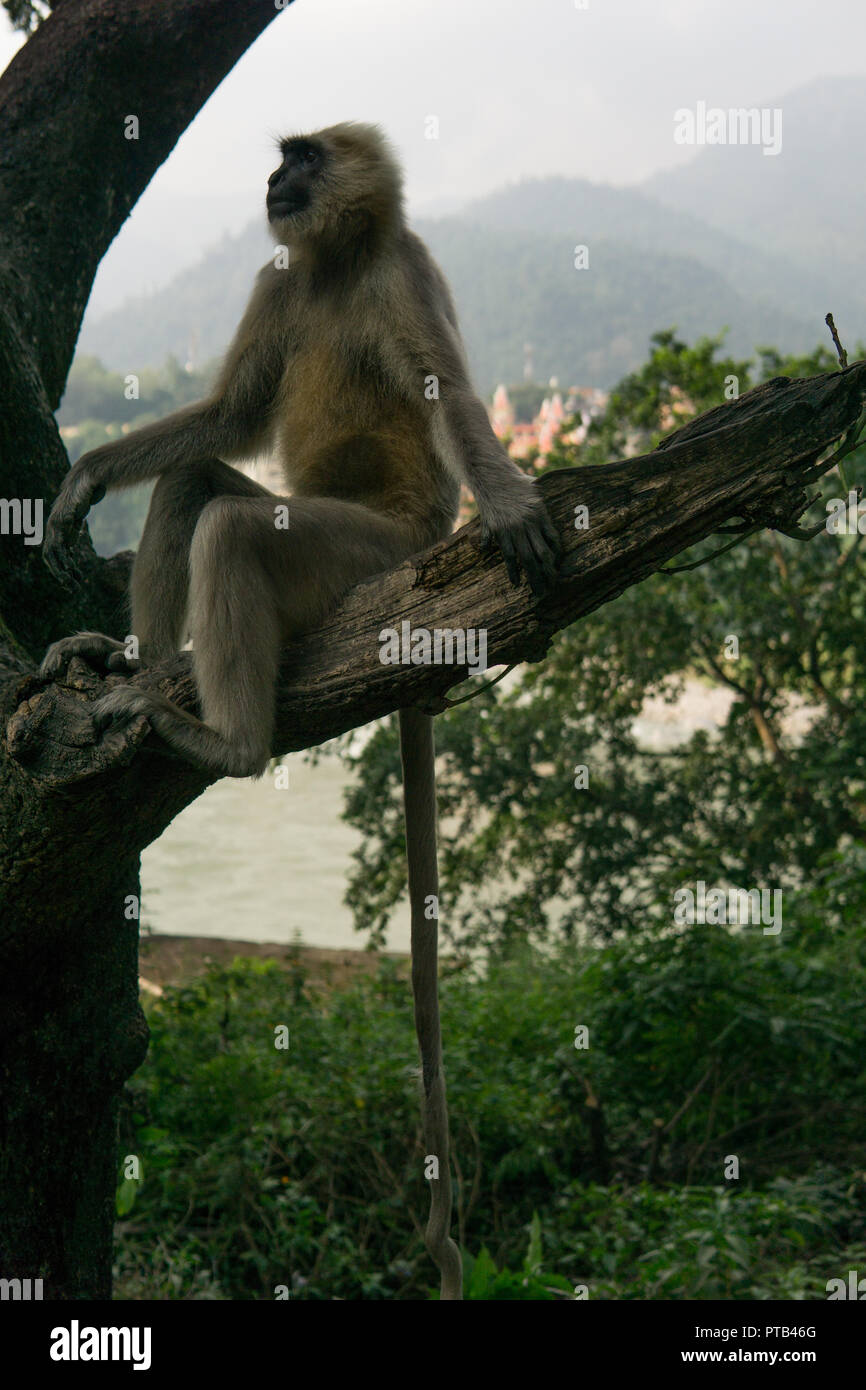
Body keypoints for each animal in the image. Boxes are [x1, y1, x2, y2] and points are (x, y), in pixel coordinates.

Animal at [40, 122, 560, 1298]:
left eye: (301, 159)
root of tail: (415, 549)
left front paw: (510, 499)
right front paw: (89, 476)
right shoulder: (283, 276)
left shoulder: (405, 270)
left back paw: (227, 741)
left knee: (234, 527)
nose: (274, 182)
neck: (334, 262)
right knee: (193, 485)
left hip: (364, 552)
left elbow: (453, 400)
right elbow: (227, 417)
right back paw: (133, 670)